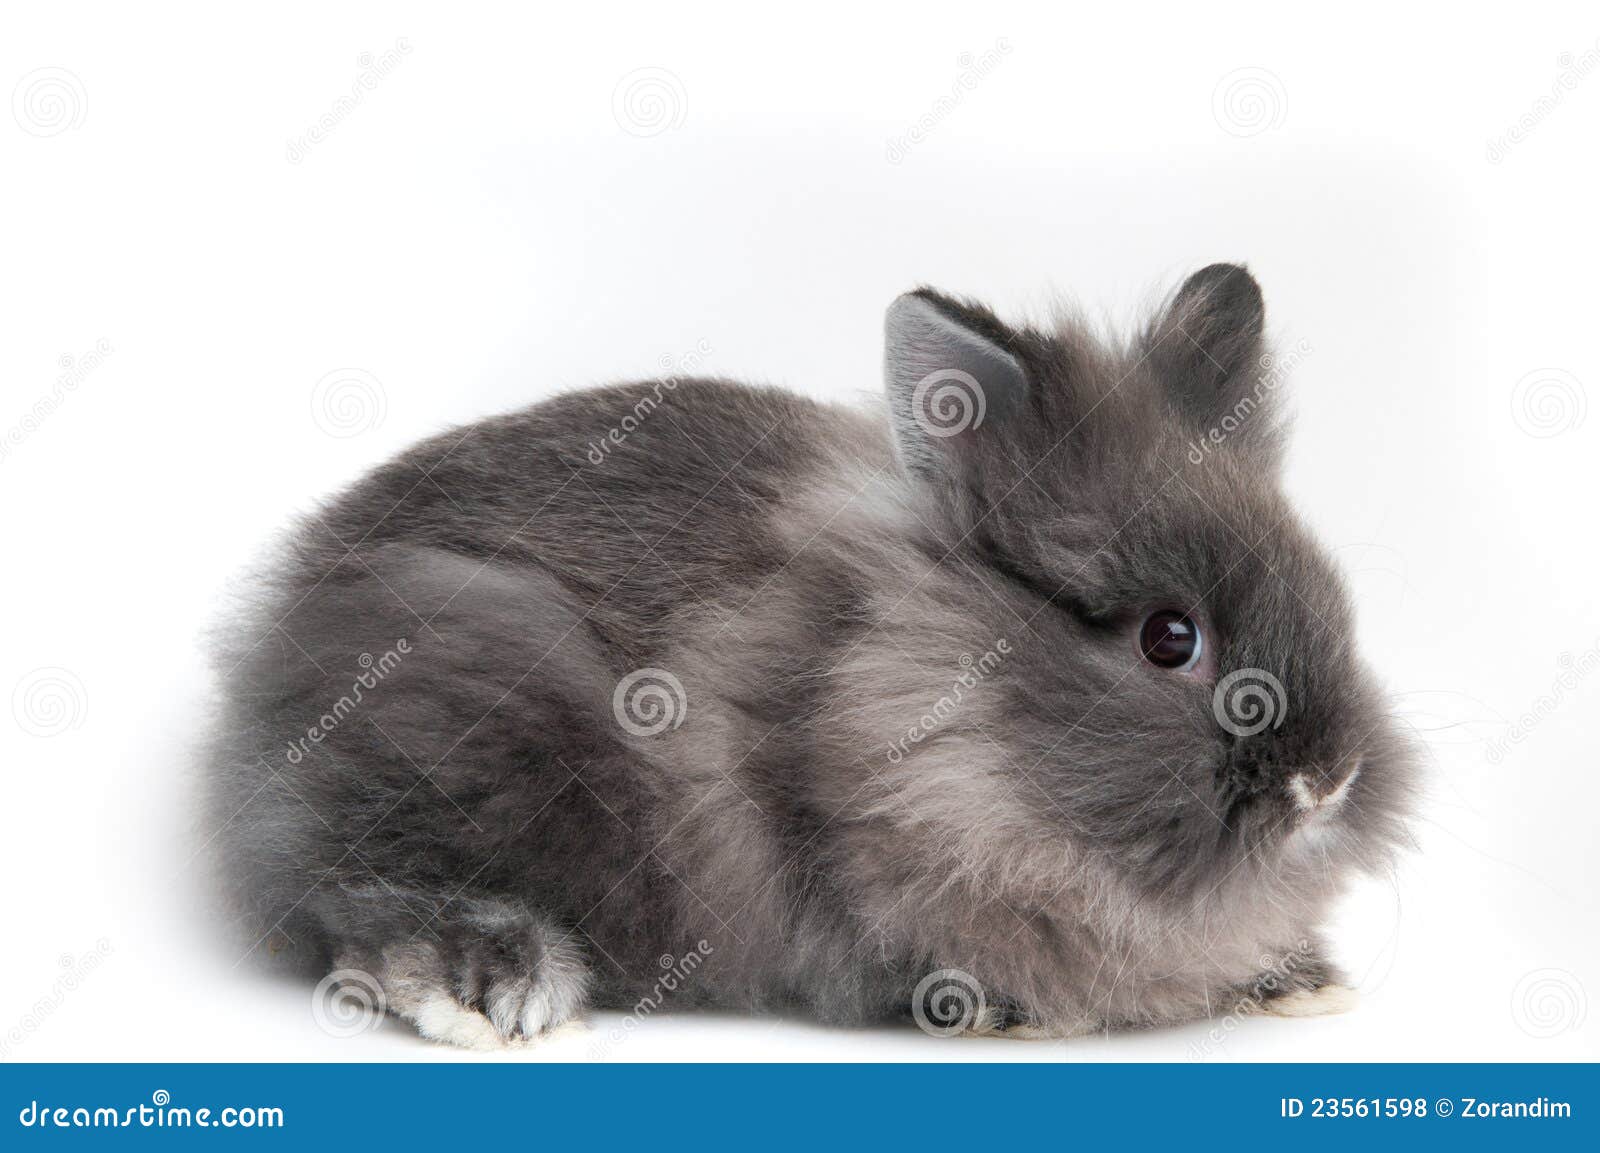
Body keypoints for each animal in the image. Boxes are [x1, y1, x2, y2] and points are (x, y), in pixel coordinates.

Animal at [206, 263, 1416, 1047]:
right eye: (1171, 638)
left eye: (1329, 590)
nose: (1327, 779)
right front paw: (1006, 1009)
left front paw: (1298, 982)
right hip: (466, 711)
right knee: (350, 885)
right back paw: (489, 985)